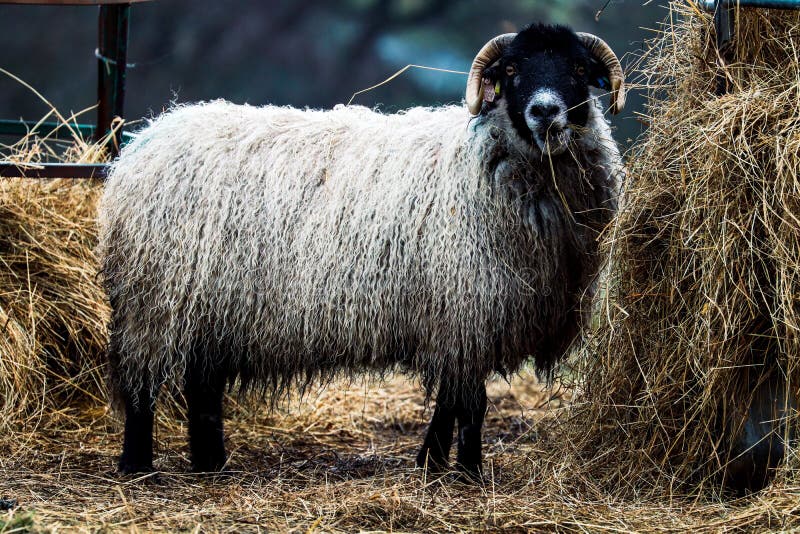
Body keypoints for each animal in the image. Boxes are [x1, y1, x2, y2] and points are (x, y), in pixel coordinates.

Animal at [98, 23, 626, 480]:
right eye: (512, 70)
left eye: (579, 69)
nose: (545, 112)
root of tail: (146, 141)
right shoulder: (465, 310)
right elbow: (471, 404)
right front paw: (468, 472)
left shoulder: (454, 322)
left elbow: (450, 401)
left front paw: (432, 463)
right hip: (153, 300)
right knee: (142, 383)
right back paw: (137, 464)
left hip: (209, 306)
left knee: (201, 386)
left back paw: (210, 463)